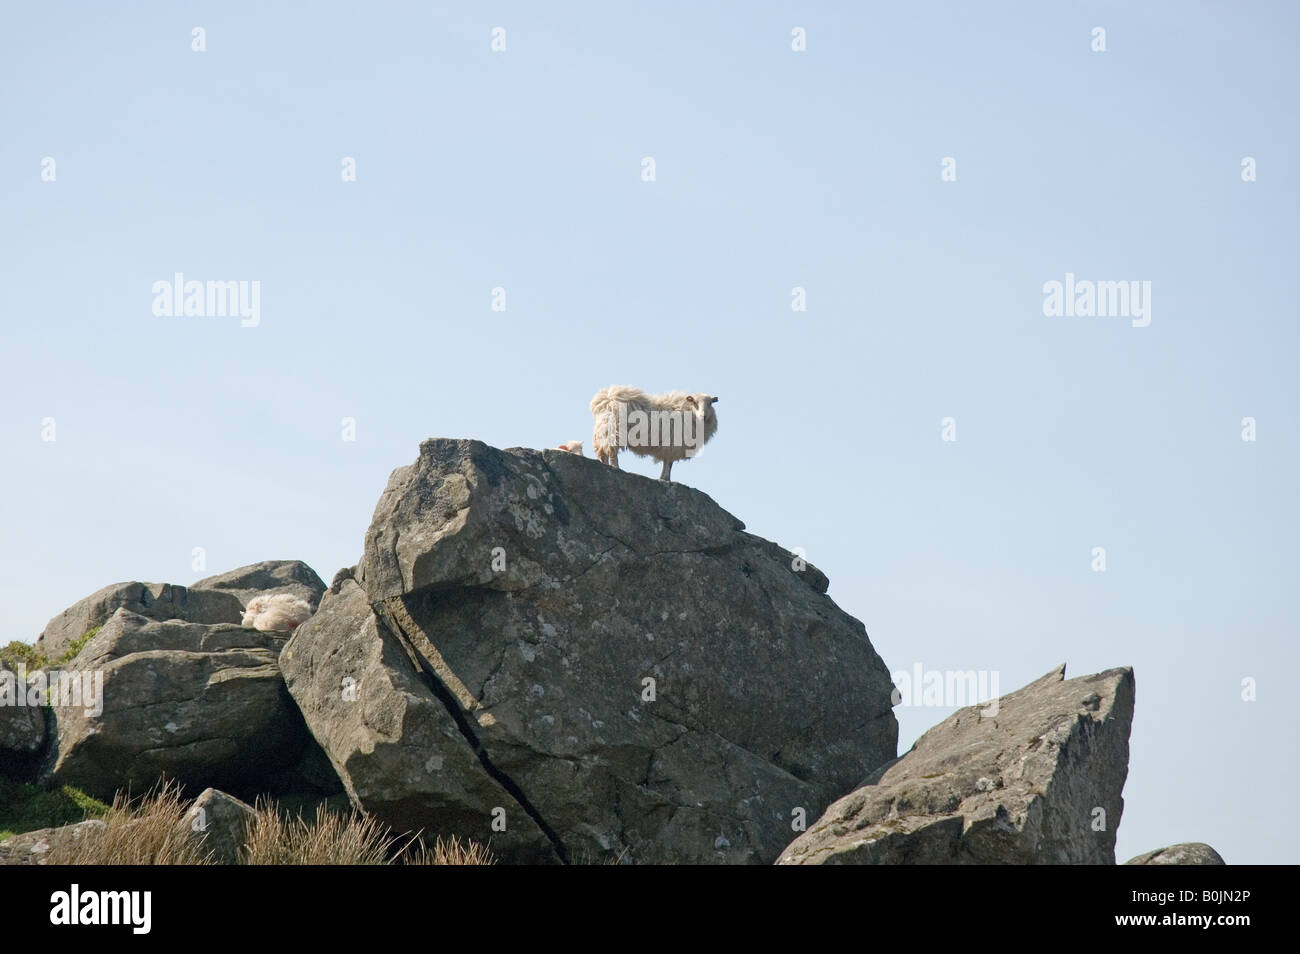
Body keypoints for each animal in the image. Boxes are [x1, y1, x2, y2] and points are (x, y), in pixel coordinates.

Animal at [589, 385, 719, 482]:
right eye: (695, 402)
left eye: (710, 403)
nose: (703, 416)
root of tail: (607, 398)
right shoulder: (673, 445)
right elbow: (668, 463)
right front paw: (666, 479)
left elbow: (668, 463)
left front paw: (664, 478)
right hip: (614, 430)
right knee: (612, 450)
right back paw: (615, 467)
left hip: (603, 430)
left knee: (602, 450)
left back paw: (605, 465)